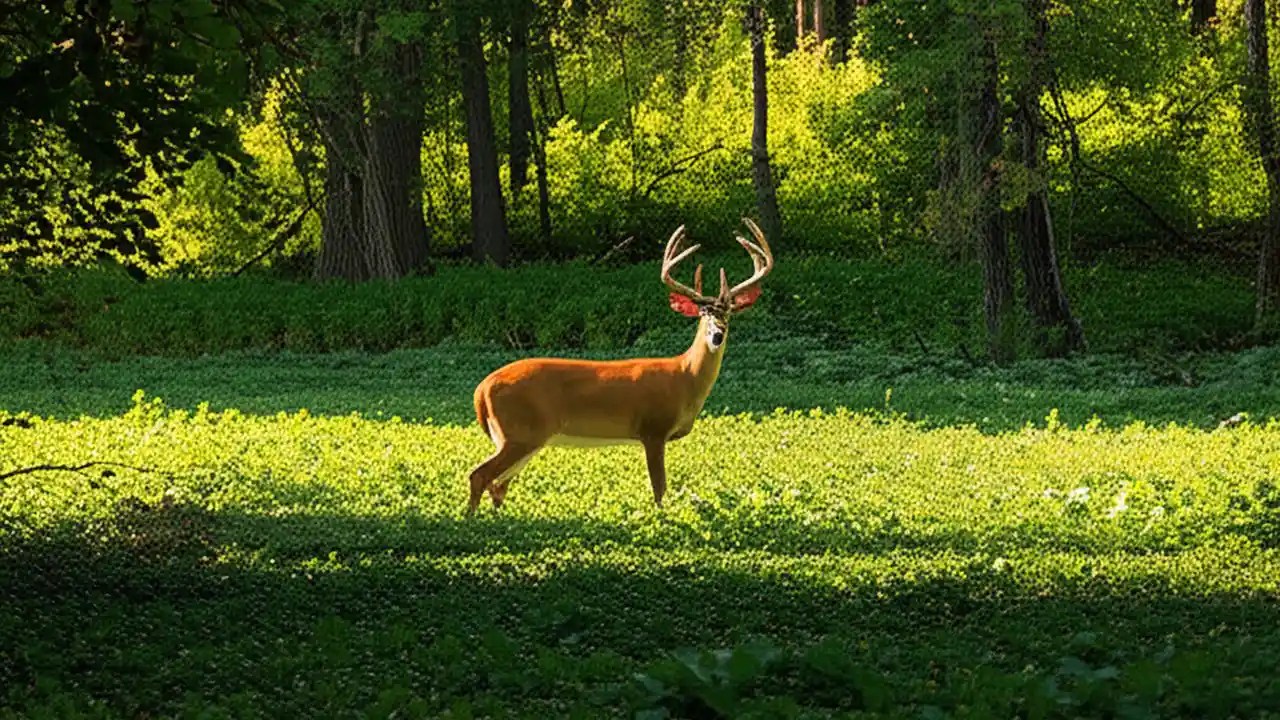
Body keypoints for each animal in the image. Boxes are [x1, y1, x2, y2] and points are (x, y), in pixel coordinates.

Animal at [466, 218, 775, 514]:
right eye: (702, 313)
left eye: (729, 313)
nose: (717, 335)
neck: (684, 377)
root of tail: (481, 390)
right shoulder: (653, 429)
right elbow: (660, 490)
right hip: (519, 432)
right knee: (479, 475)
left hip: (523, 437)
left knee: (498, 485)